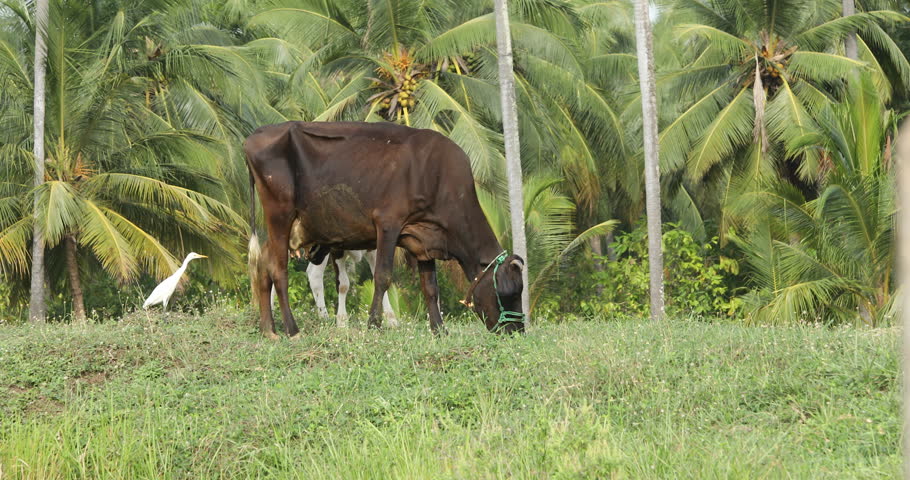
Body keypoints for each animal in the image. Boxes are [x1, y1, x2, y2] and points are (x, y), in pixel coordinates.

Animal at [245, 121, 524, 338]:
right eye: (508, 292)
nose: (517, 332)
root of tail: (255, 134)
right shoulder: (388, 223)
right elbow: (382, 276)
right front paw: (373, 324)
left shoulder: (423, 240)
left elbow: (430, 287)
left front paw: (439, 329)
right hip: (280, 213)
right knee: (278, 269)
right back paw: (291, 330)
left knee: (264, 265)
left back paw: (269, 329)